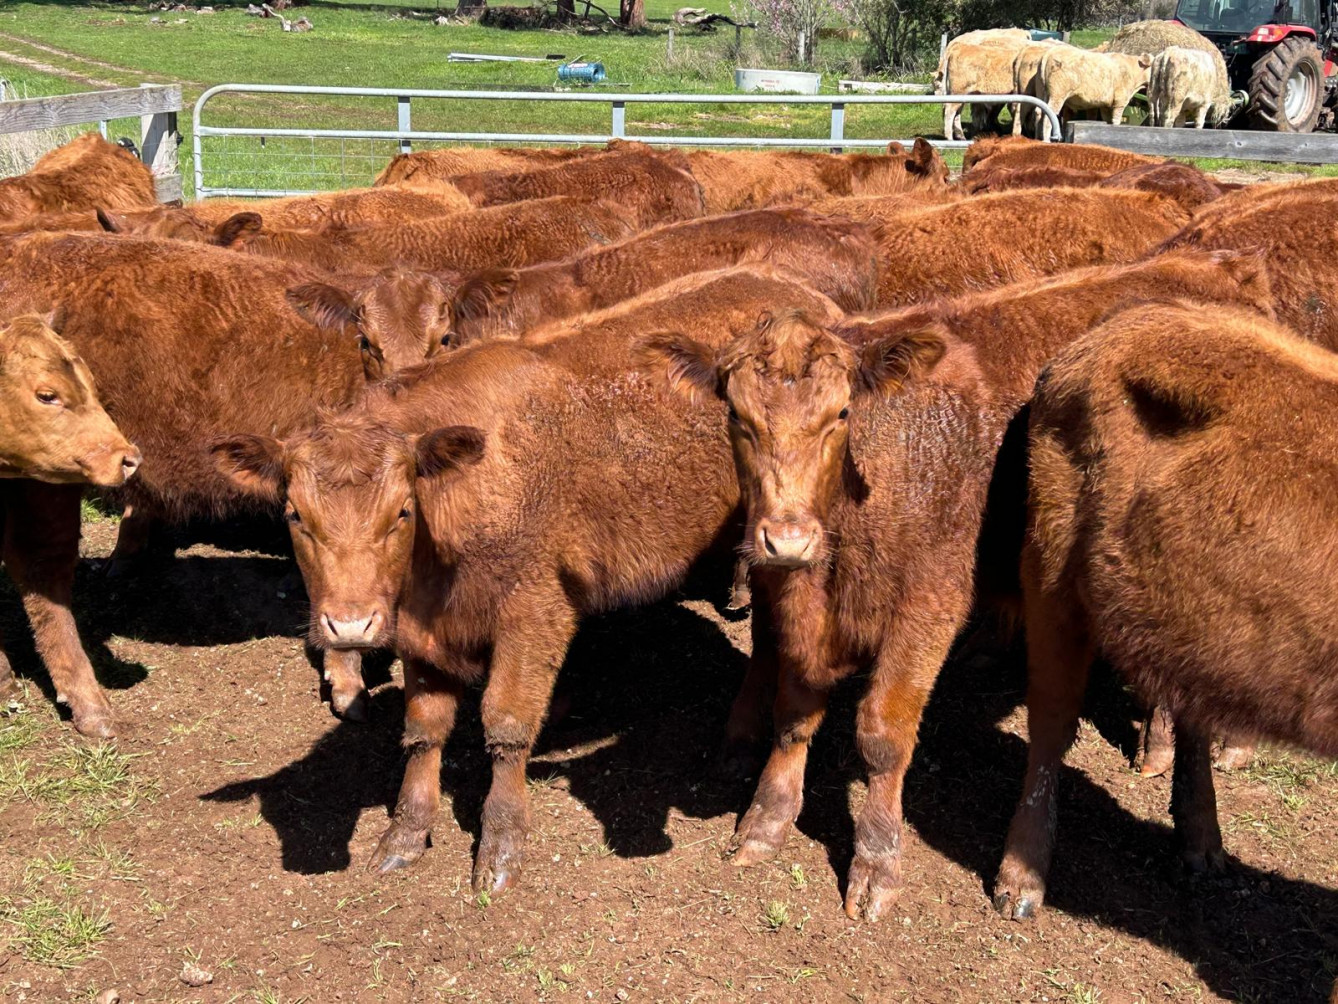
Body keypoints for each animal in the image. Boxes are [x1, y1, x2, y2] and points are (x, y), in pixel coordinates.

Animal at [212, 268, 845, 893]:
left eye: (401, 511)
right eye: (295, 514)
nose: (349, 625)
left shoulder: (535, 609)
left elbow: (507, 723)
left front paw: (501, 843)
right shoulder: (422, 628)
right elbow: (424, 729)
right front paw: (405, 834)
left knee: (769, 640)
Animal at [637, 248, 1274, 920]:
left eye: (841, 414)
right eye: (737, 416)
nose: (787, 539)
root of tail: (1216, 267)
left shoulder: (930, 602)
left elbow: (882, 734)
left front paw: (877, 863)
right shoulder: (792, 600)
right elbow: (794, 708)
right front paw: (767, 818)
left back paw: (1194, 834)